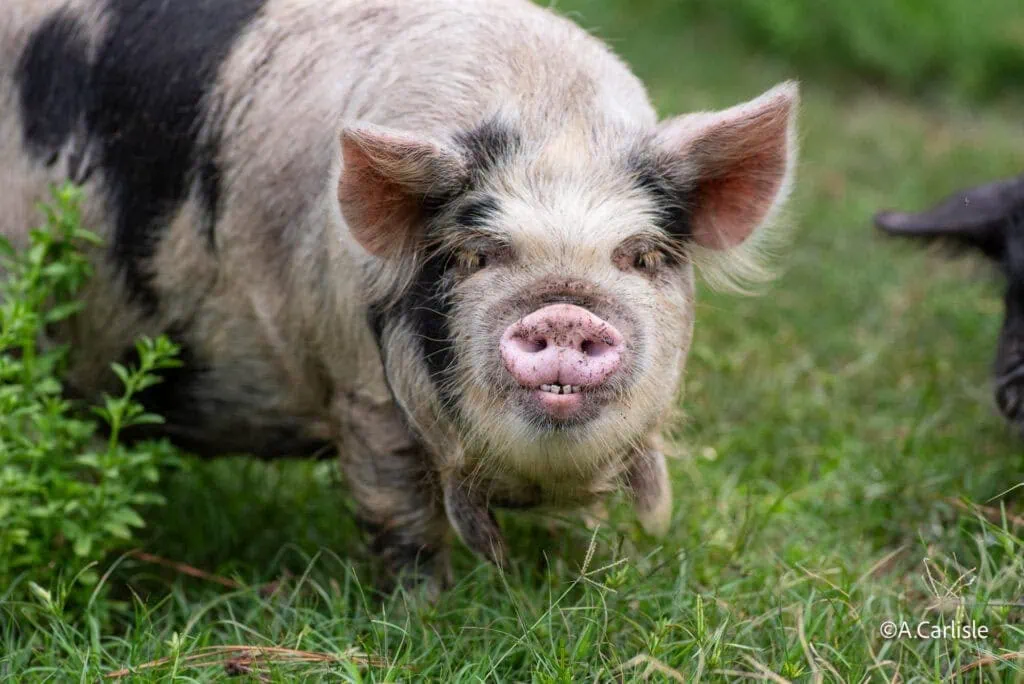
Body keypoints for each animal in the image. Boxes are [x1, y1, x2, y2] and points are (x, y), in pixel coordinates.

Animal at [0, 0, 799, 592]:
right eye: (475, 256)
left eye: (642, 256)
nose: (565, 309)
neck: (549, 120)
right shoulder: (361, 389)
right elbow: (400, 517)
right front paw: (426, 615)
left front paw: (572, 588)